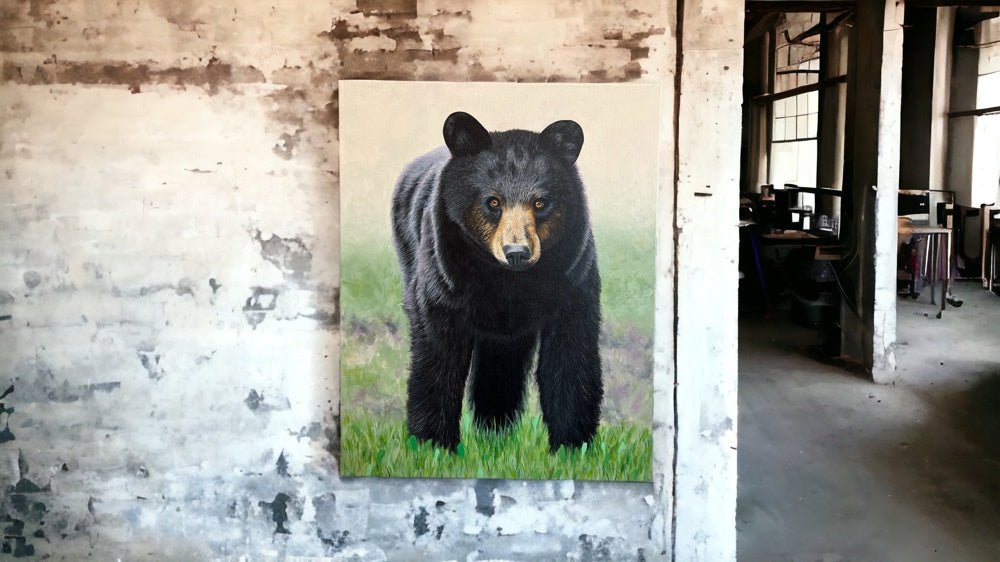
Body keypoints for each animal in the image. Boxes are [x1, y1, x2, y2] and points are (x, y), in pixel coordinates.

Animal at [390, 111, 603, 452]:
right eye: (493, 201)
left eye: (541, 202)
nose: (517, 252)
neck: (507, 281)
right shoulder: (444, 275)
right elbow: (437, 354)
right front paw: (433, 445)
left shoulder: (573, 276)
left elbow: (571, 354)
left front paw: (573, 446)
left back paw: (495, 432)